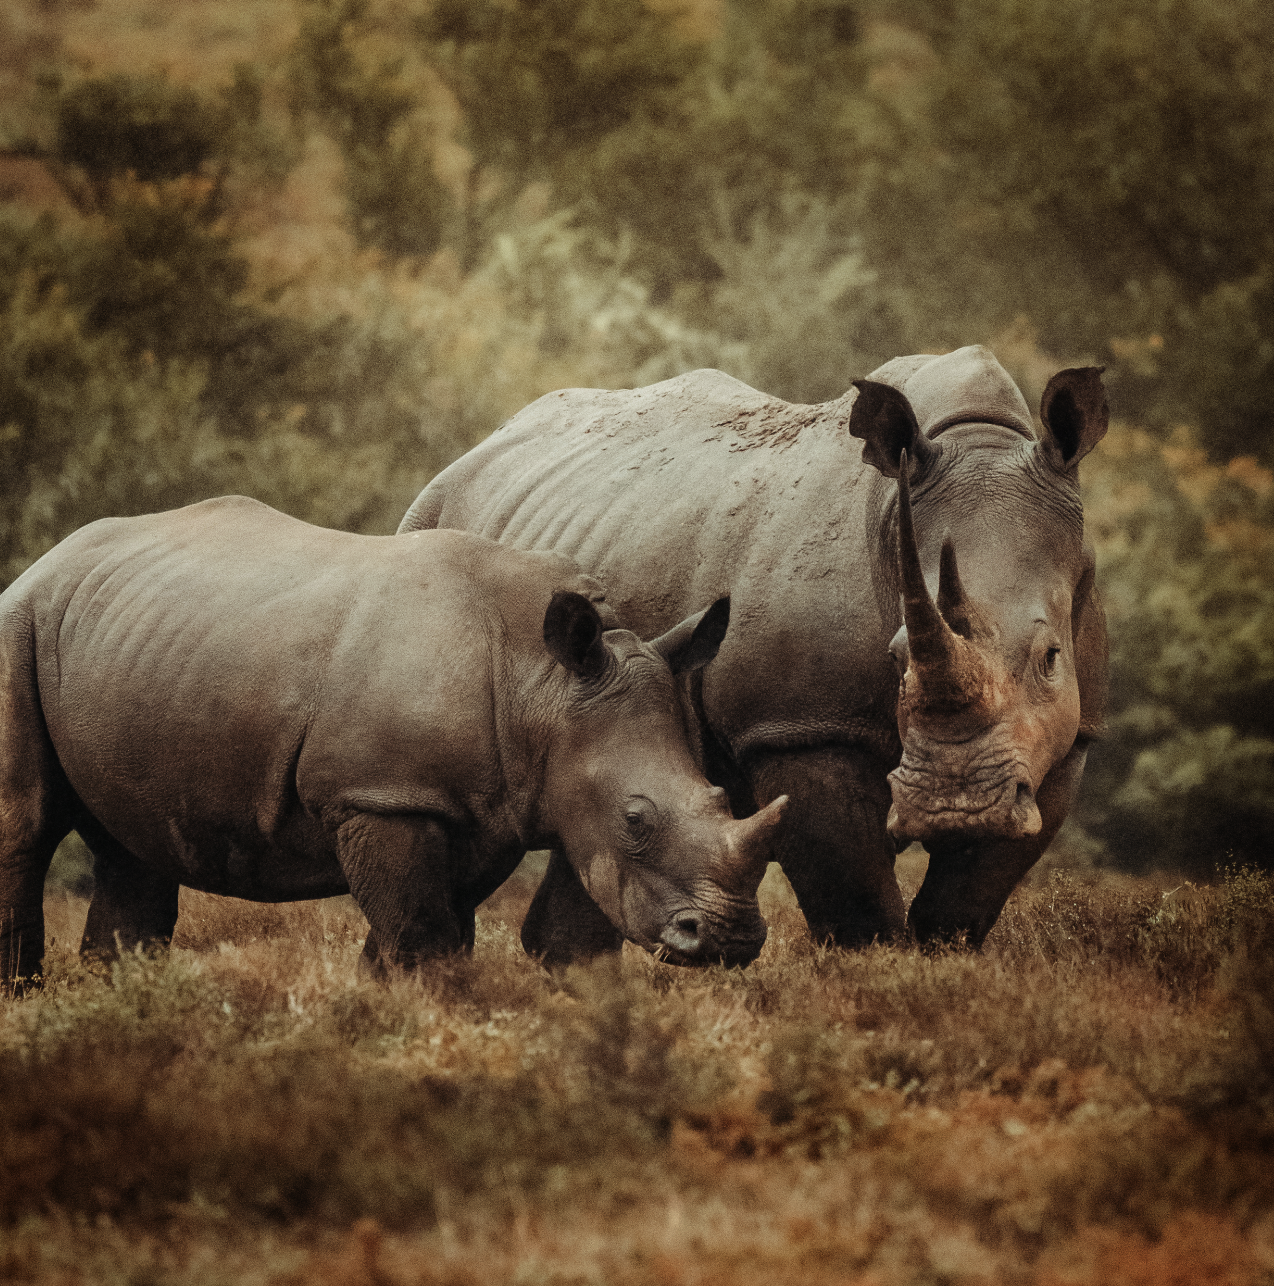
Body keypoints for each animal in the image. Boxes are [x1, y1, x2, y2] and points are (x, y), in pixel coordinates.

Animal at [0, 496, 787, 985]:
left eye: (721, 797)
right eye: (635, 819)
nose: (732, 941)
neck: (540, 686)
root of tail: (45, 562)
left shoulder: (475, 807)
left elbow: (431, 932)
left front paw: (390, 1011)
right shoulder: (381, 795)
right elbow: (419, 932)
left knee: (131, 851)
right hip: (20, 622)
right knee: (25, 825)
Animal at [399, 345, 1109, 952]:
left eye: (1052, 657)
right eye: (898, 655)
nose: (955, 809)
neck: (978, 440)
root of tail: (477, 448)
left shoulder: (1068, 740)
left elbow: (961, 910)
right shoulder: (801, 727)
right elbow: (859, 914)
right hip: (428, 518)